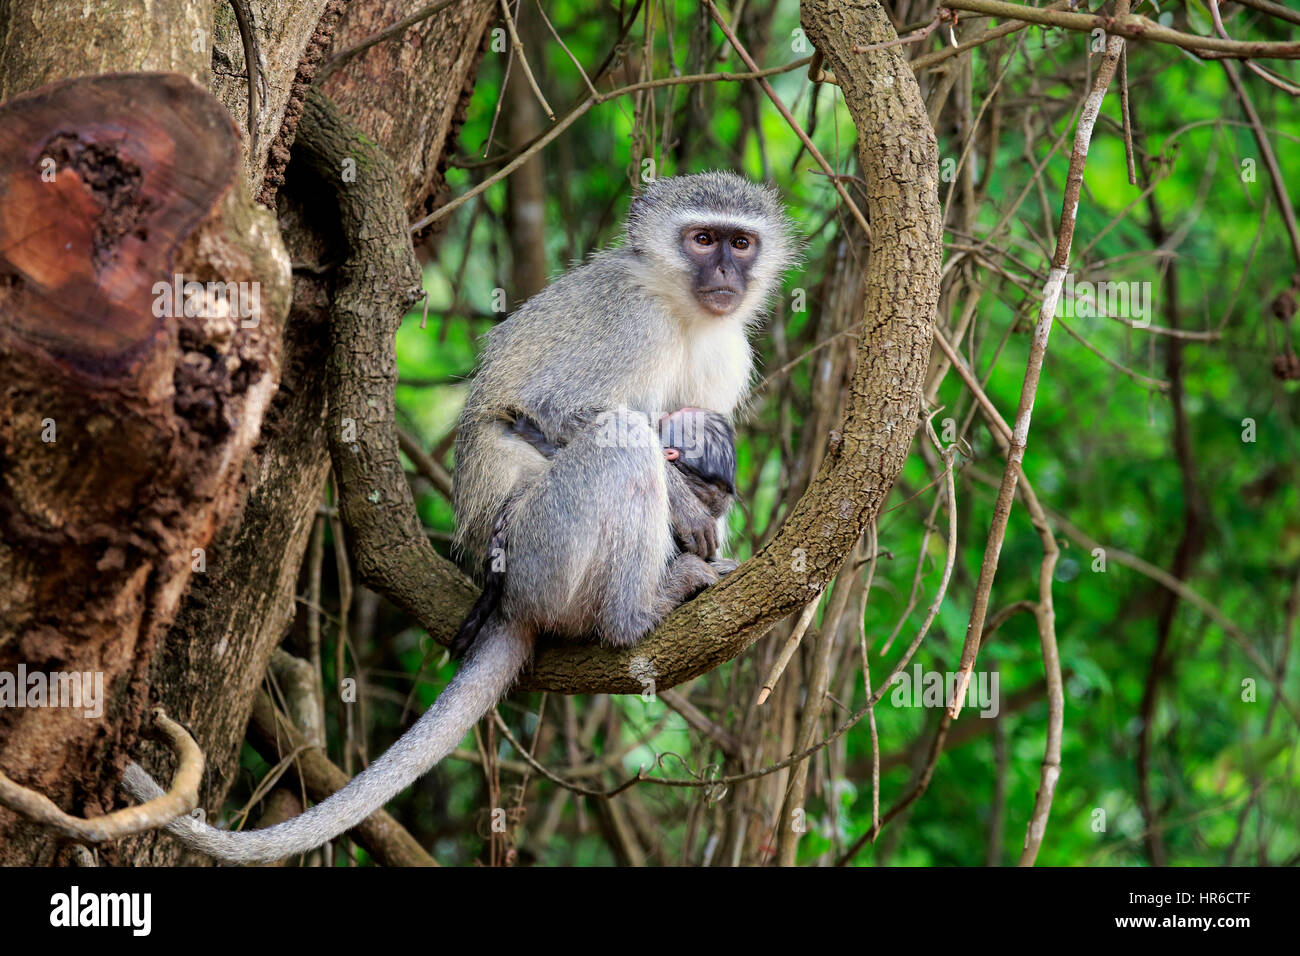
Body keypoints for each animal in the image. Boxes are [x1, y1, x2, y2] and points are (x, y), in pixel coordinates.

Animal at [122, 171, 796, 863]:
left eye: (741, 242)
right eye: (703, 239)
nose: (726, 271)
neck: (683, 311)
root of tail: (514, 601)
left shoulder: (727, 354)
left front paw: (703, 497)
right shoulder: (632, 322)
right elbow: (552, 410)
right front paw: (684, 503)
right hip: (542, 555)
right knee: (621, 441)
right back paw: (636, 613)